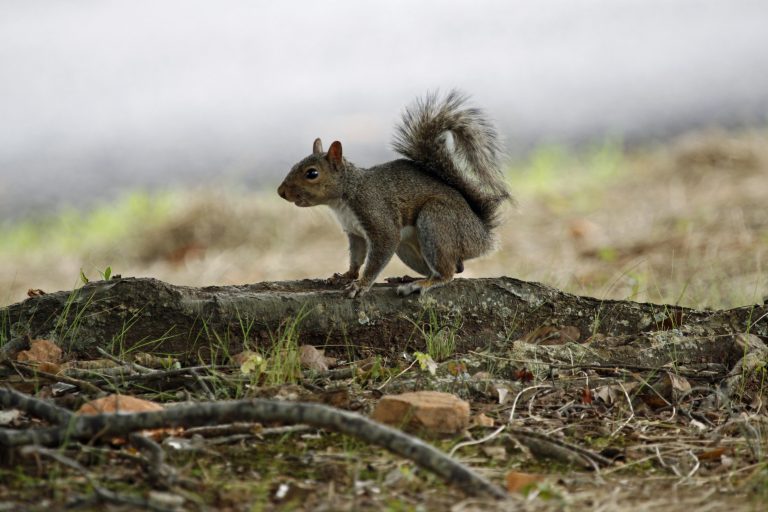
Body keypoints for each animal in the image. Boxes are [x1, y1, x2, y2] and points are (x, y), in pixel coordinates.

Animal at [277, 90, 510, 298]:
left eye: (312, 173)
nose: (281, 192)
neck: (347, 193)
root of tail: (482, 235)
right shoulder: (354, 232)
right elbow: (356, 258)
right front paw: (346, 276)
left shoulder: (375, 214)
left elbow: (379, 252)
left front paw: (361, 285)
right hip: (407, 246)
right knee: (456, 267)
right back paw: (409, 278)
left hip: (437, 221)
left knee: (448, 272)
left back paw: (422, 284)